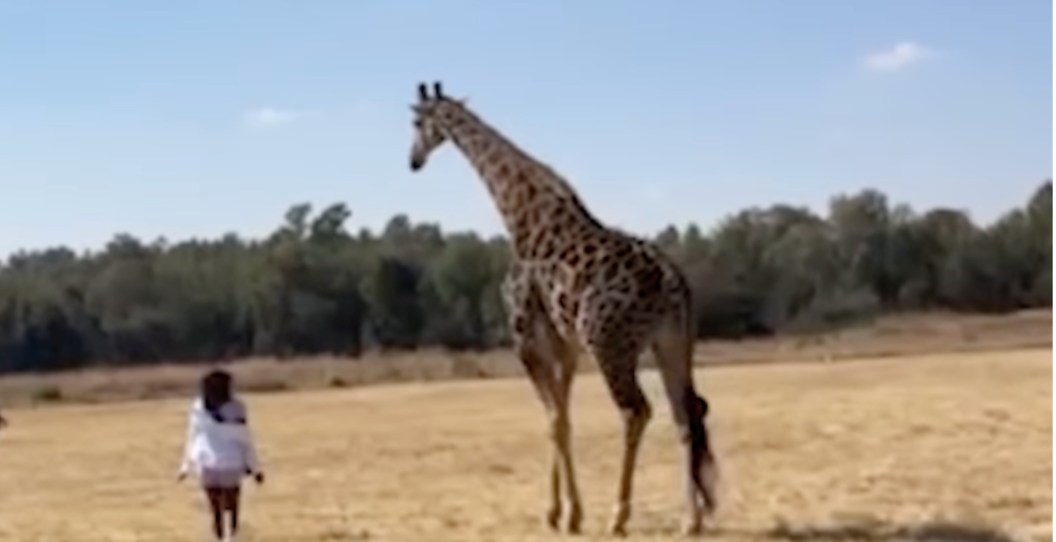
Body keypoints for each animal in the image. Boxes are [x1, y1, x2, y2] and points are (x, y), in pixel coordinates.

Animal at [407, 81, 719, 536]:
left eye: (415, 121)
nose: (413, 161)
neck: (521, 218)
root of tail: (671, 280)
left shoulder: (526, 338)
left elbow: (553, 419)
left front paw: (565, 514)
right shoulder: (565, 344)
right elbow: (563, 418)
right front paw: (564, 512)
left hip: (610, 344)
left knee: (636, 411)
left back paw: (619, 516)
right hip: (673, 342)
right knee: (687, 412)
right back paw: (690, 519)